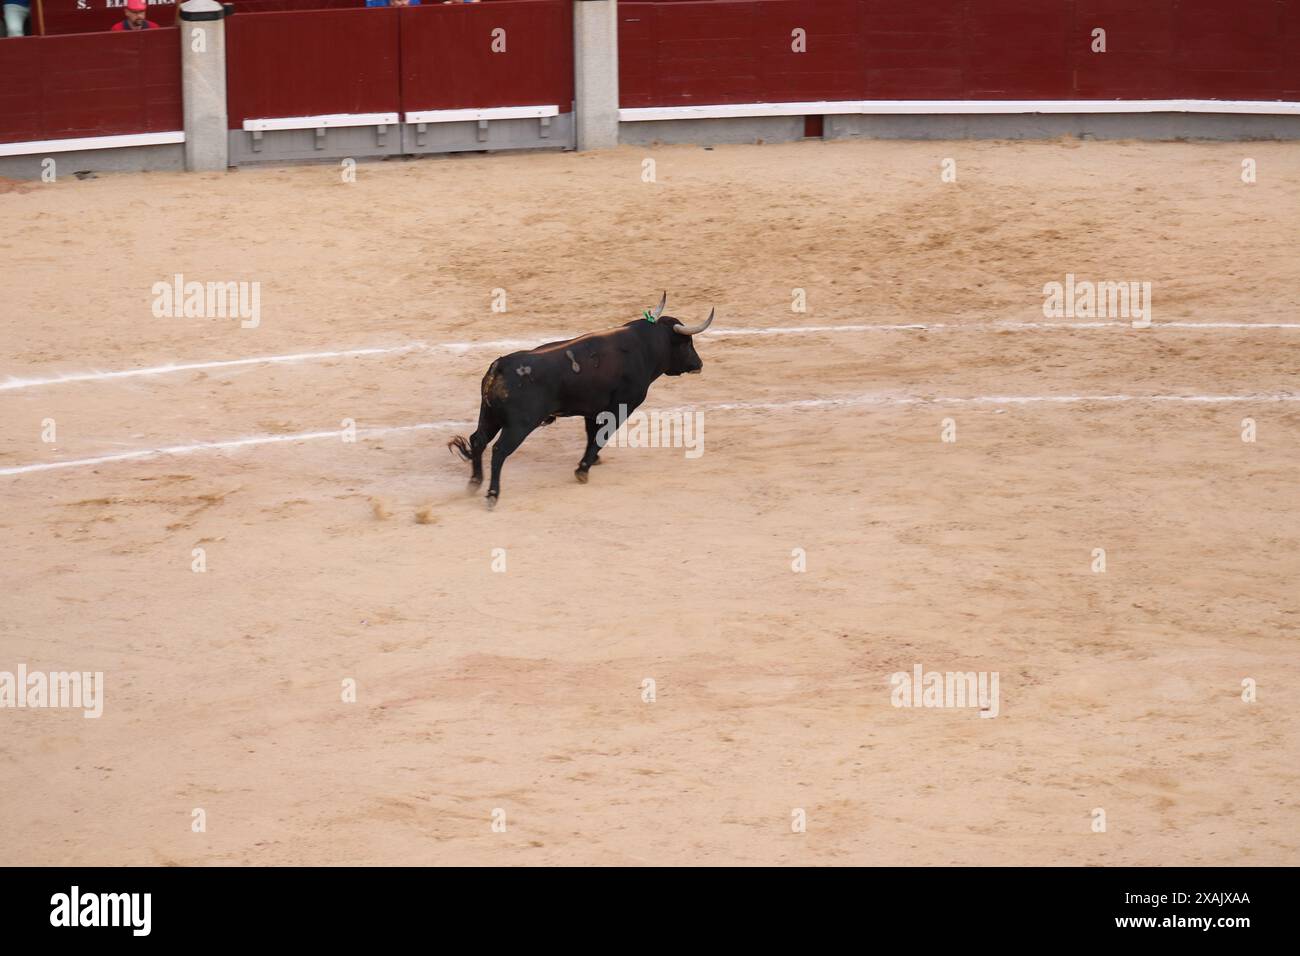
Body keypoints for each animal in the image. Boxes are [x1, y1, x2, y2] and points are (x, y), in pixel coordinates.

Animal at [448, 293, 715, 507]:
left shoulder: (593, 410)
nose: (699, 364)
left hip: (489, 416)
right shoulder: (620, 408)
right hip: (519, 425)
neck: (643, 346)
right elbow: (601, 437)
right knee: (499, 450)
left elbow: (592, 435)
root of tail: (500, 366)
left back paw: (474, 482)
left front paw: (592, 461)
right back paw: (492, 494)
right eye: (687, 343)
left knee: (478, 440)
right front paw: (582, 469)